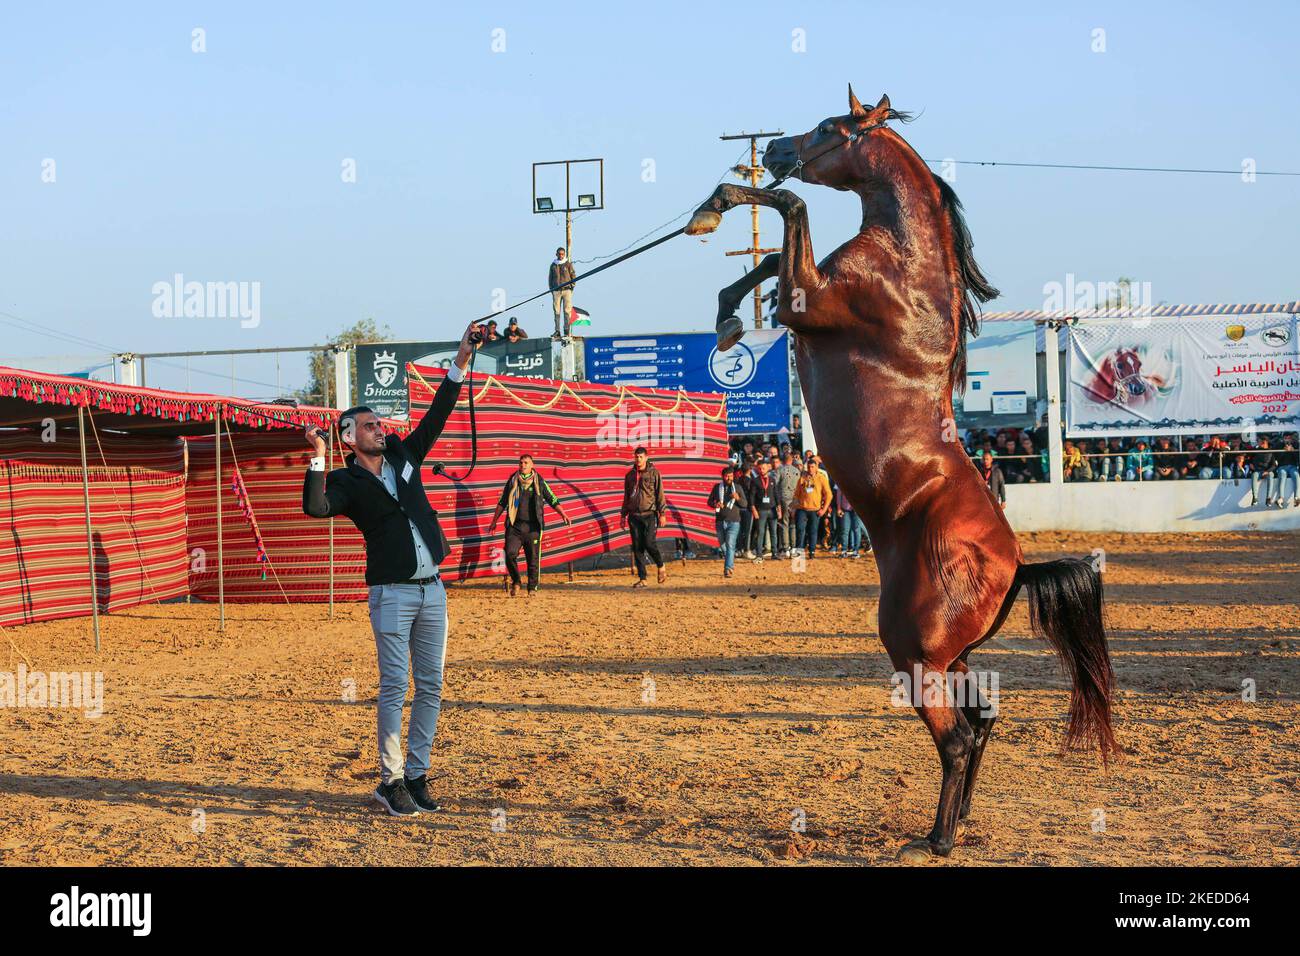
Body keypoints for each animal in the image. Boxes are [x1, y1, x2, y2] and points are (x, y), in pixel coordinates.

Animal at [686, 85, 1120, 862]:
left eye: (828, 126)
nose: (776, 149)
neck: (905, 267)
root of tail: (1016, 566)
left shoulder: (808, 298)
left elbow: (790, 211)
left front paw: (720, 209)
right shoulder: (804, 289)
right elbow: (766, 261)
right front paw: (729, 313)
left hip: (913, 651)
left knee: (956, 738)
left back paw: (939, 837)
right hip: (949, 659)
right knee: (981, 719)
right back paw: (958, 818)